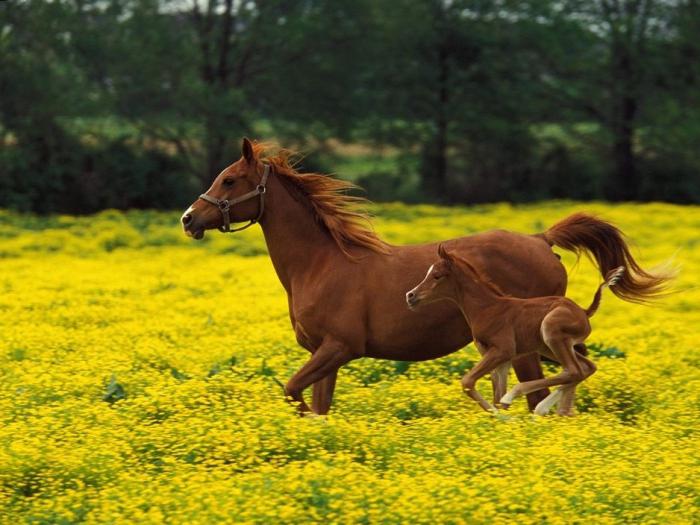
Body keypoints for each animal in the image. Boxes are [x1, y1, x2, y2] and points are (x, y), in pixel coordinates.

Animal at [408, 248, 628, 416]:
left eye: (437, 276)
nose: (410, 296)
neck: (487, 308)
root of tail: (584, 311)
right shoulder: (499, 357)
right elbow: (496, 393)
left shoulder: (503, 350)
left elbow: (469, 382)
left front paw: (501, 415)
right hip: (548, 346)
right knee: (584, 368)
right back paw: (558, 411)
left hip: (551, 331)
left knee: (573, 370)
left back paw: (534, 404)